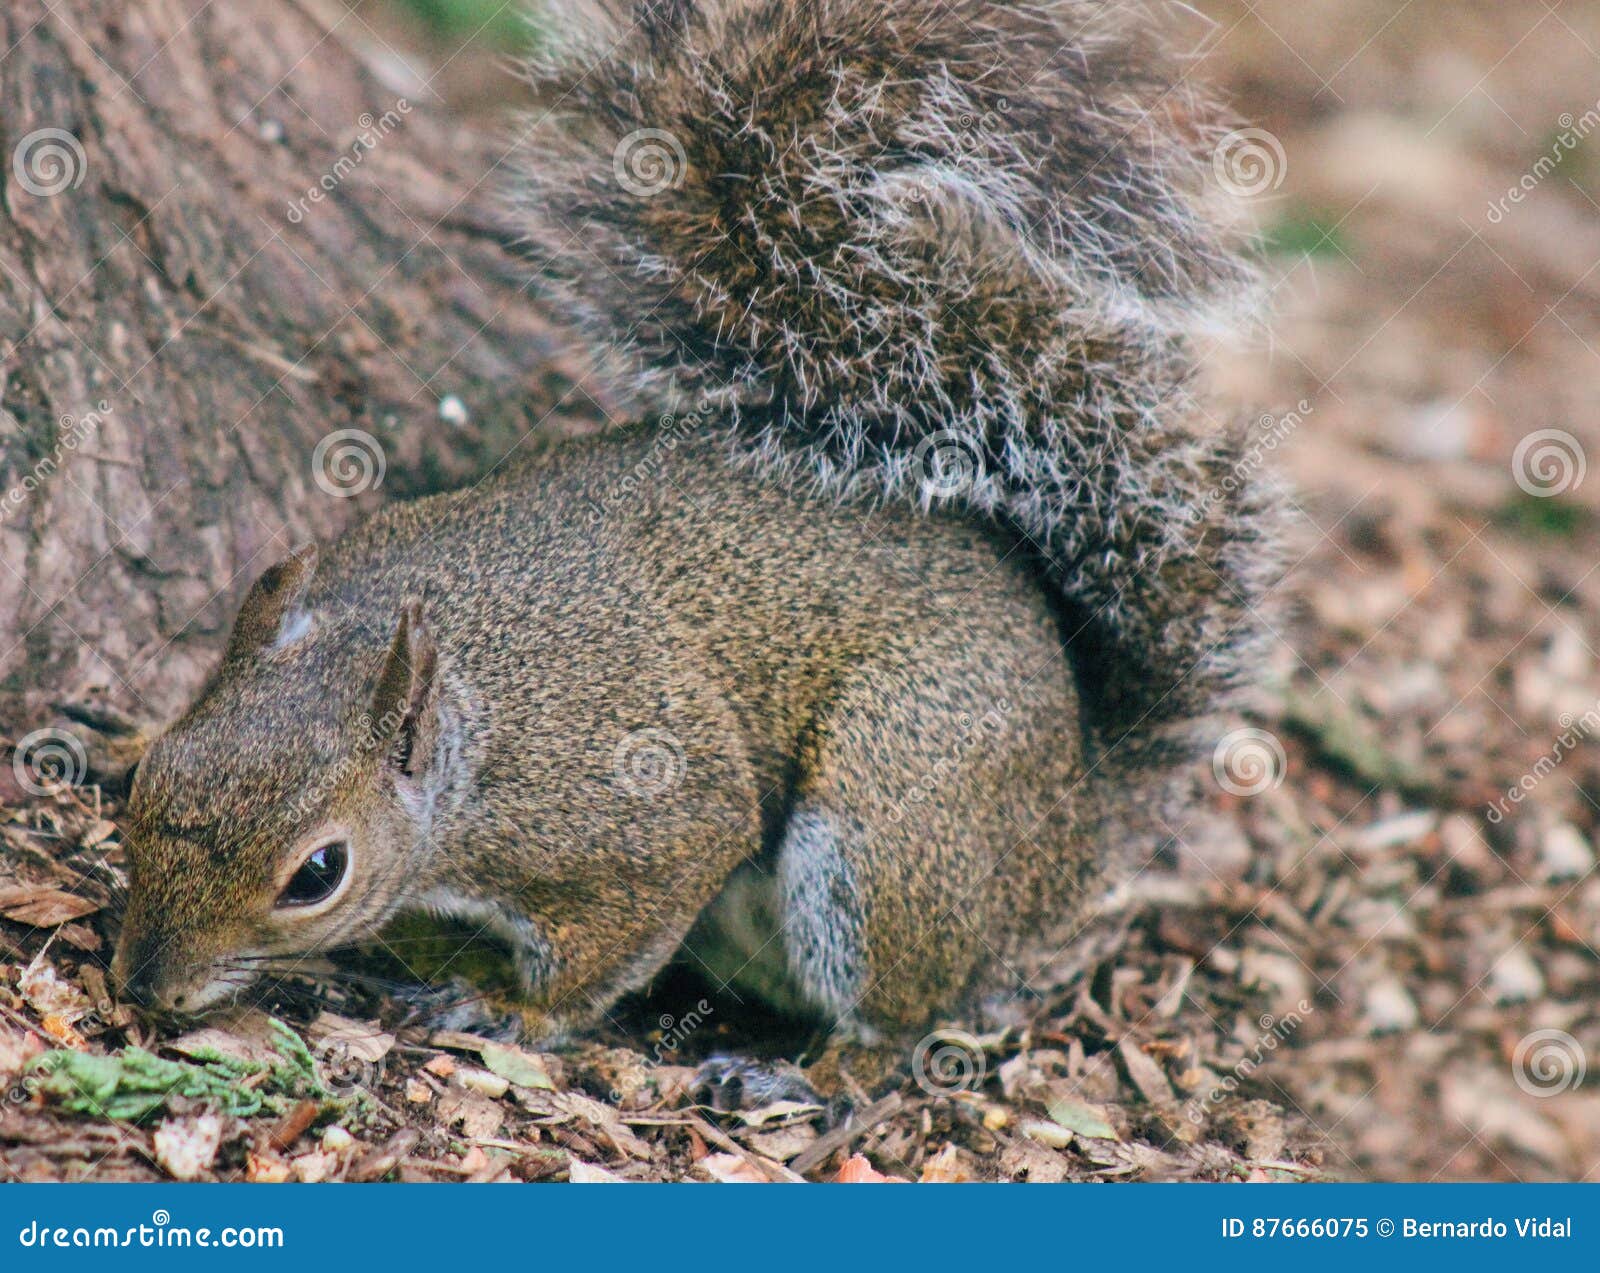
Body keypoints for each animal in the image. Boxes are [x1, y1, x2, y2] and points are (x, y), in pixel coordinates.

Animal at [111, 0, 1278, 1075]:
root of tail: (1075, 806)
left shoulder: (642, 812)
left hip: (889, 814)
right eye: (150, 778)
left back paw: (805, 1076)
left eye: (318, 873)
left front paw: (508, 1007)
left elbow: (609, 939)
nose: (144, 986)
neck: (465, 726)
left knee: (898, 1014)